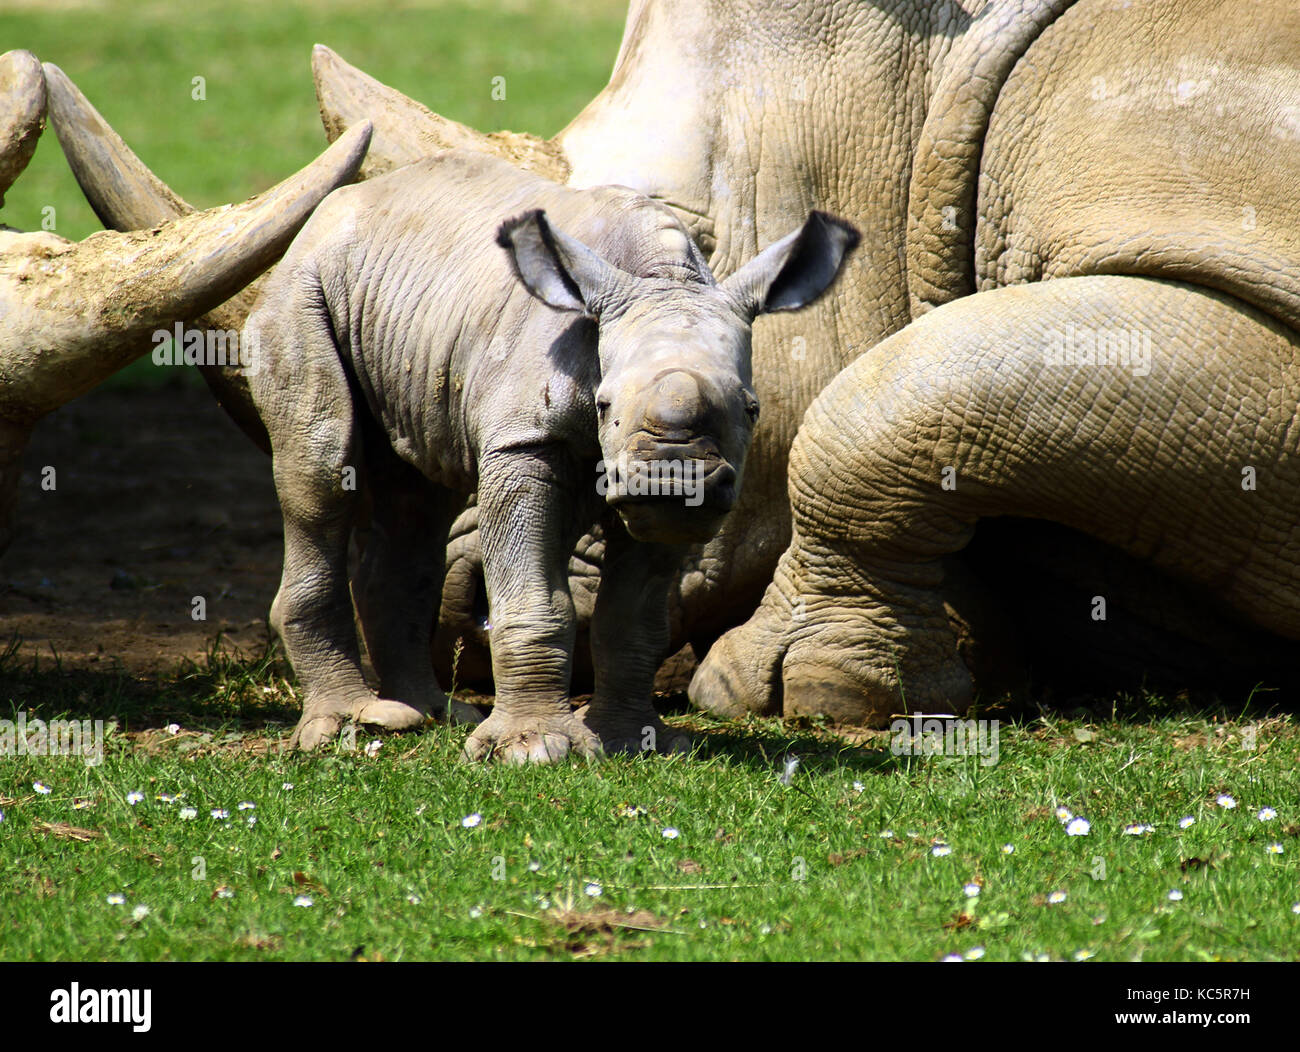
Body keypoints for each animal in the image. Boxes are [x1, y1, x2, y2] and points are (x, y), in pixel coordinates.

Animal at [243, 149, 856, 758]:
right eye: (604, 404)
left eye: (752, 409)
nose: (672, 479)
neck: (662, 281)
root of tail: (341, 206)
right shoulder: (526, 438)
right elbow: (536, 594)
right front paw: (534, 749)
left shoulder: (666, 504)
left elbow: (634, 618)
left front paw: (638, 742)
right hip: (303, 287)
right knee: (322, 469)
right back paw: (344, 727)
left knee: (418, 495)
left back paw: (429, 715)